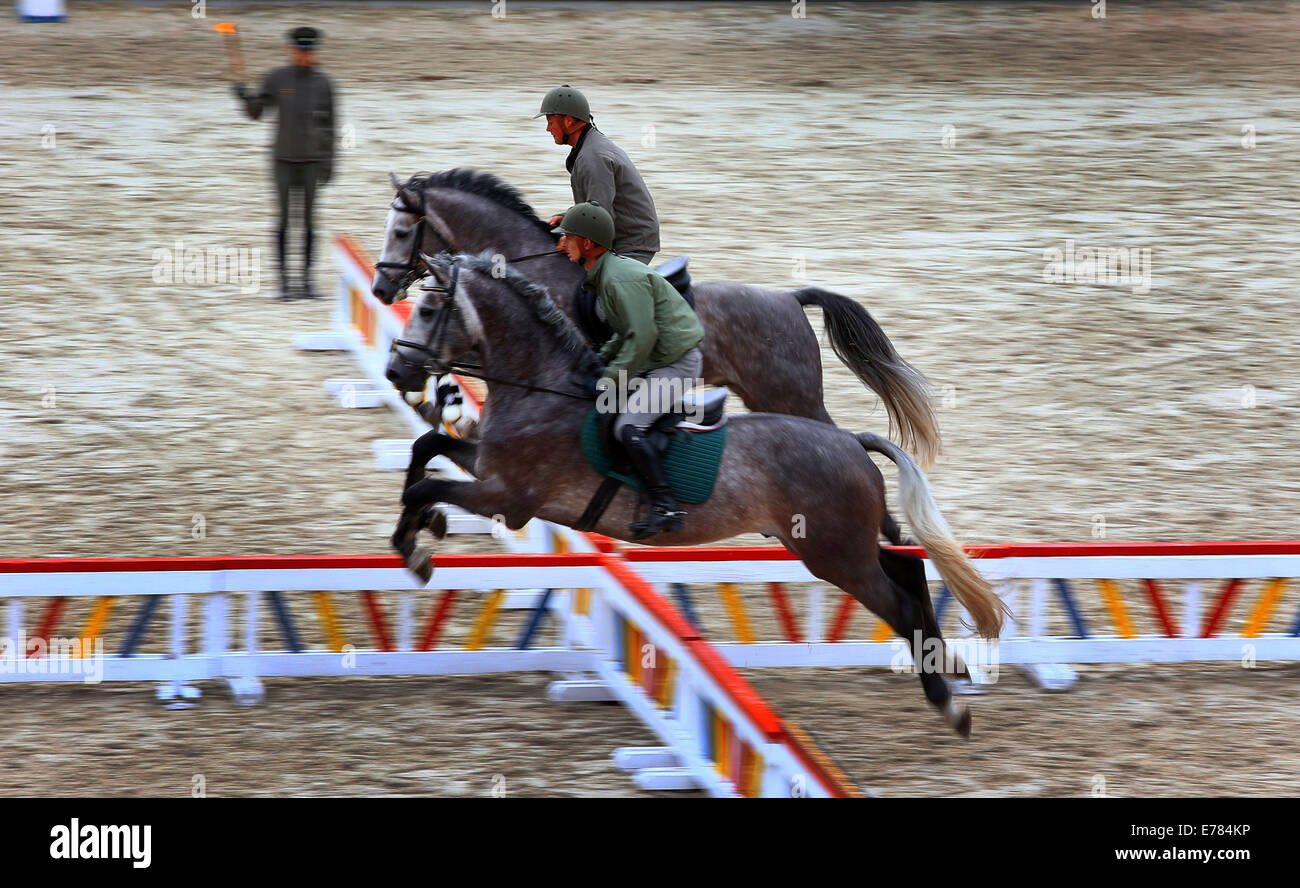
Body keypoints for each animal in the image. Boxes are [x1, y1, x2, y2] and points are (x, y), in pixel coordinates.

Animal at [385, 251, 1008, 737]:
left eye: (431, 310)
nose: (397, 370)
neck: (540, 387)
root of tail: (851, 442)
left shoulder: (506, 498)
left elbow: (429, 478)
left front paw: (417, 547)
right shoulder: (488, 470)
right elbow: (426, 446)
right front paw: (423, 530)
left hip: (834, 555)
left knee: (898, 600)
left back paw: (948, 704)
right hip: (832, 546)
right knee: (906, 570)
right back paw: (948, 666)